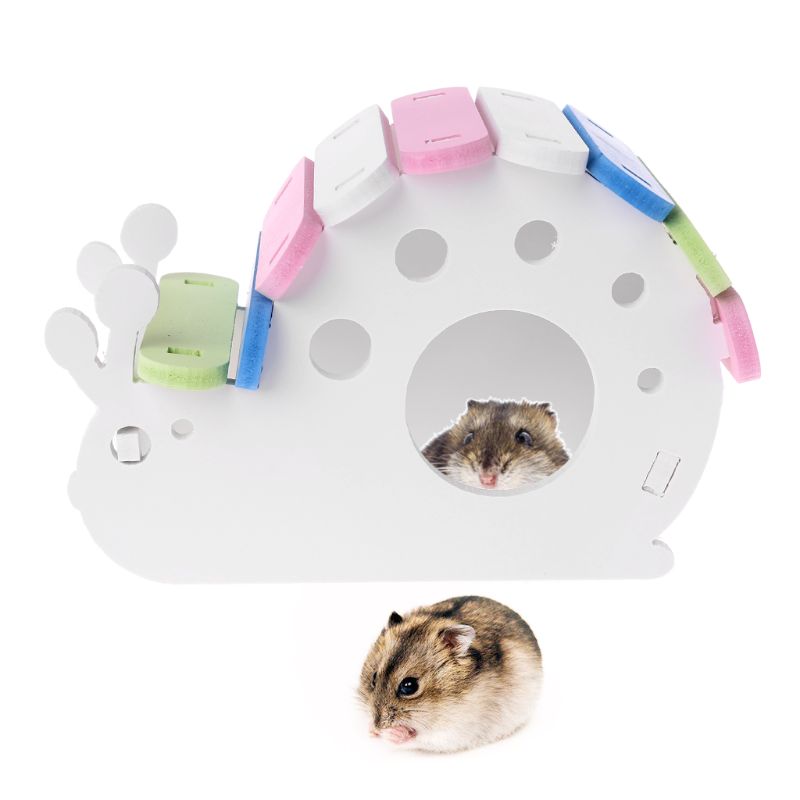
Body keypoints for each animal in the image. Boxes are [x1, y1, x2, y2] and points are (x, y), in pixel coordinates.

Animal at [359, 596, 542, 753]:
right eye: (373, 678)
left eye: (409, 686)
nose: (378, 726)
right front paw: (371, 730)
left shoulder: (454, 729)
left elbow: (418, 737)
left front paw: (391, 733)